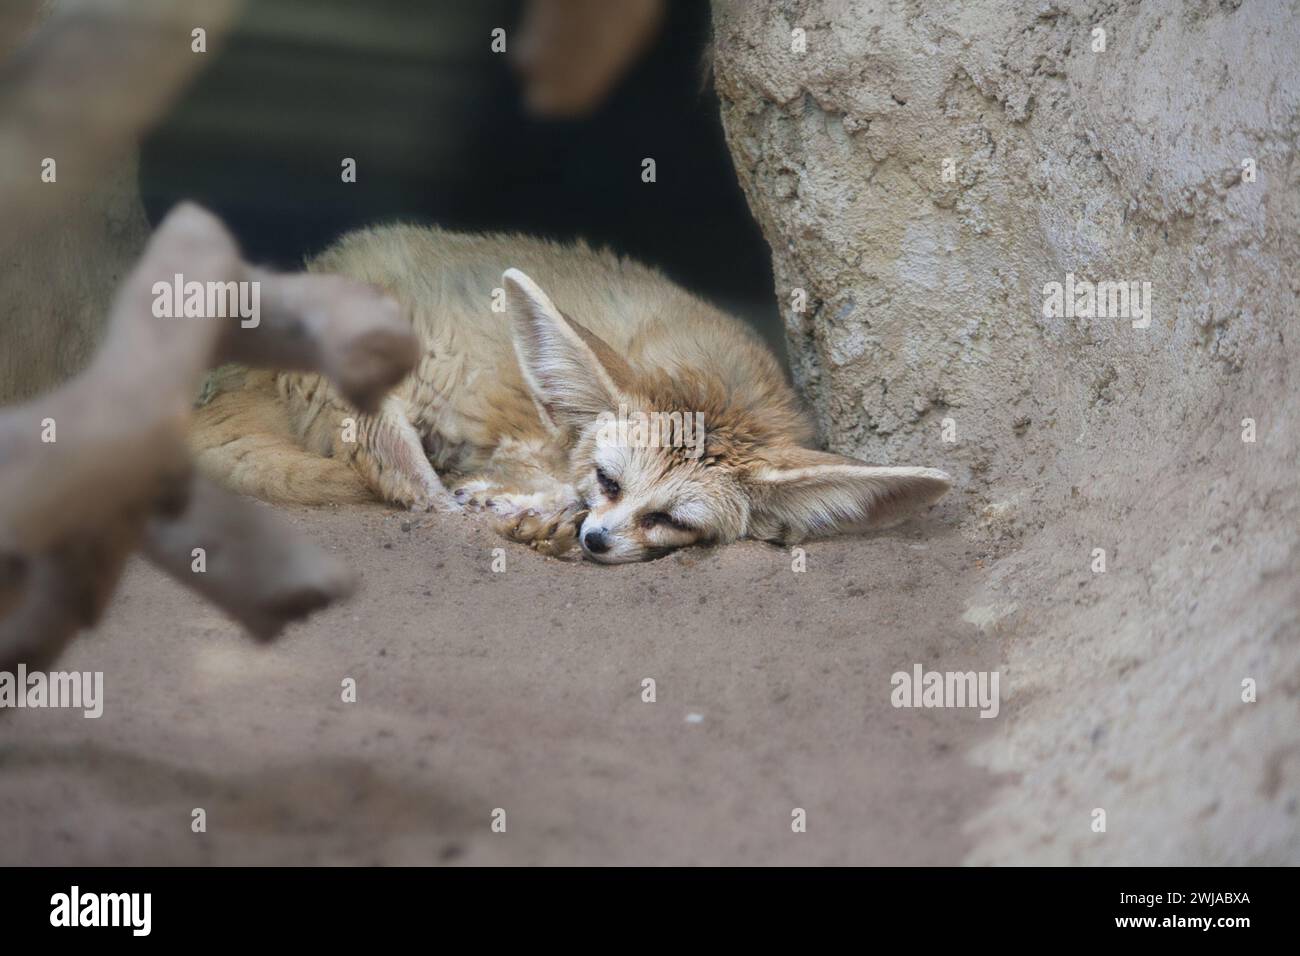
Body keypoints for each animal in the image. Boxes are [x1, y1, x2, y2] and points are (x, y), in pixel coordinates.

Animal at [189, 224, 952, 563]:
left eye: (672, 520)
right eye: (610, 481)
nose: (595, 539)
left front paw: (540, 512)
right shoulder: (520, 430)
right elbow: (517, 472)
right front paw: (519, 504)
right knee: (388, 466)